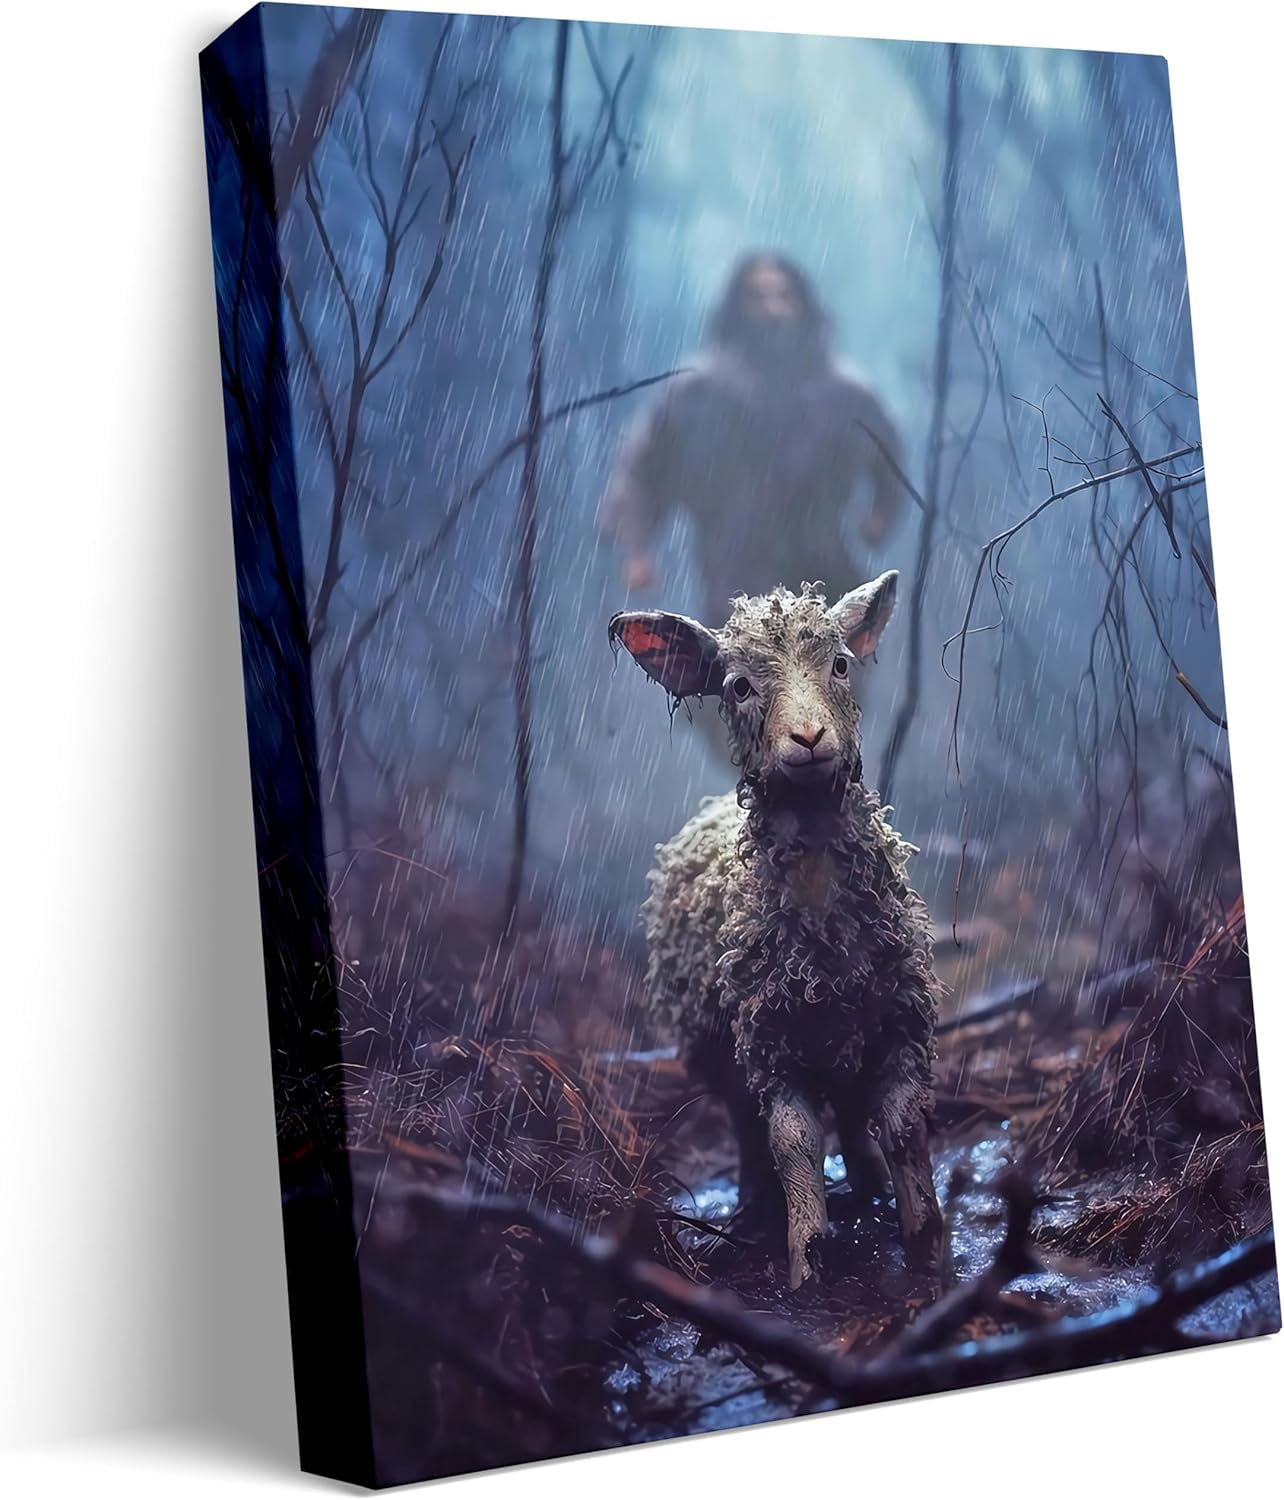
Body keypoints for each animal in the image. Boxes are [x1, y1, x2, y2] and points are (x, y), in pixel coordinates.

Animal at [608, 574, 943, 1288]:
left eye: (840, 665)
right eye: (738, 686)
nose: (809, 737)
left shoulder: (900, 1022)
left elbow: (903, 1126)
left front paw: (928, 1252)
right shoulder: (771, 1044)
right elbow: (793, 1141)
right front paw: (806, 1263)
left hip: (845, 1037)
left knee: (853, 1114)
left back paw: (869, 1187)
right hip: (716, 1051)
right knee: (747, 1127)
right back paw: (754, 1204)